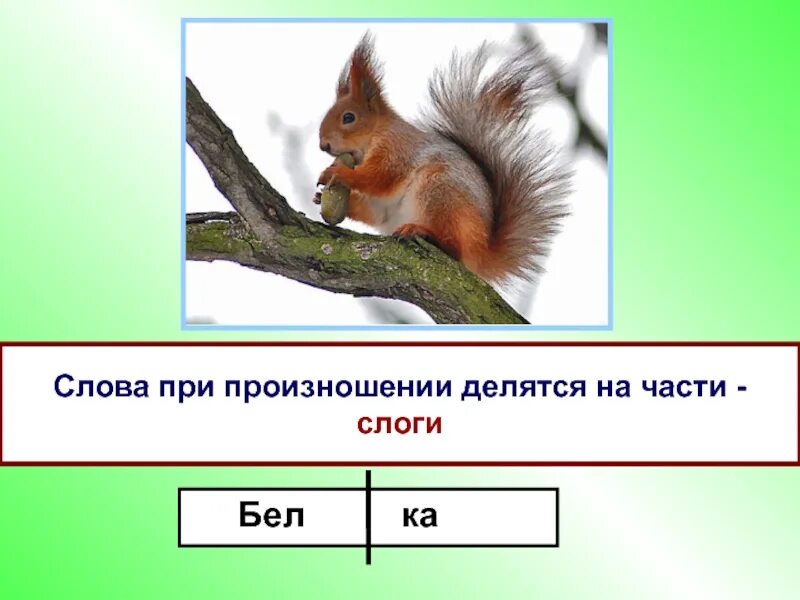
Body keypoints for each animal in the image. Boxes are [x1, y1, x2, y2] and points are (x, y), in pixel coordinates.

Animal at [317, 33, 570, 283]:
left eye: (348, 117)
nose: (323, 145)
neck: (376, 135)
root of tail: (481, 251)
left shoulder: (398, 150)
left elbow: (378, 178)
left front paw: (336, 173)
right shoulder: (381, 205)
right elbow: (374, 208)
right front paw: (324, 198)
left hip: (441, 191)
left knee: (454, 248)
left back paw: (425, 233)